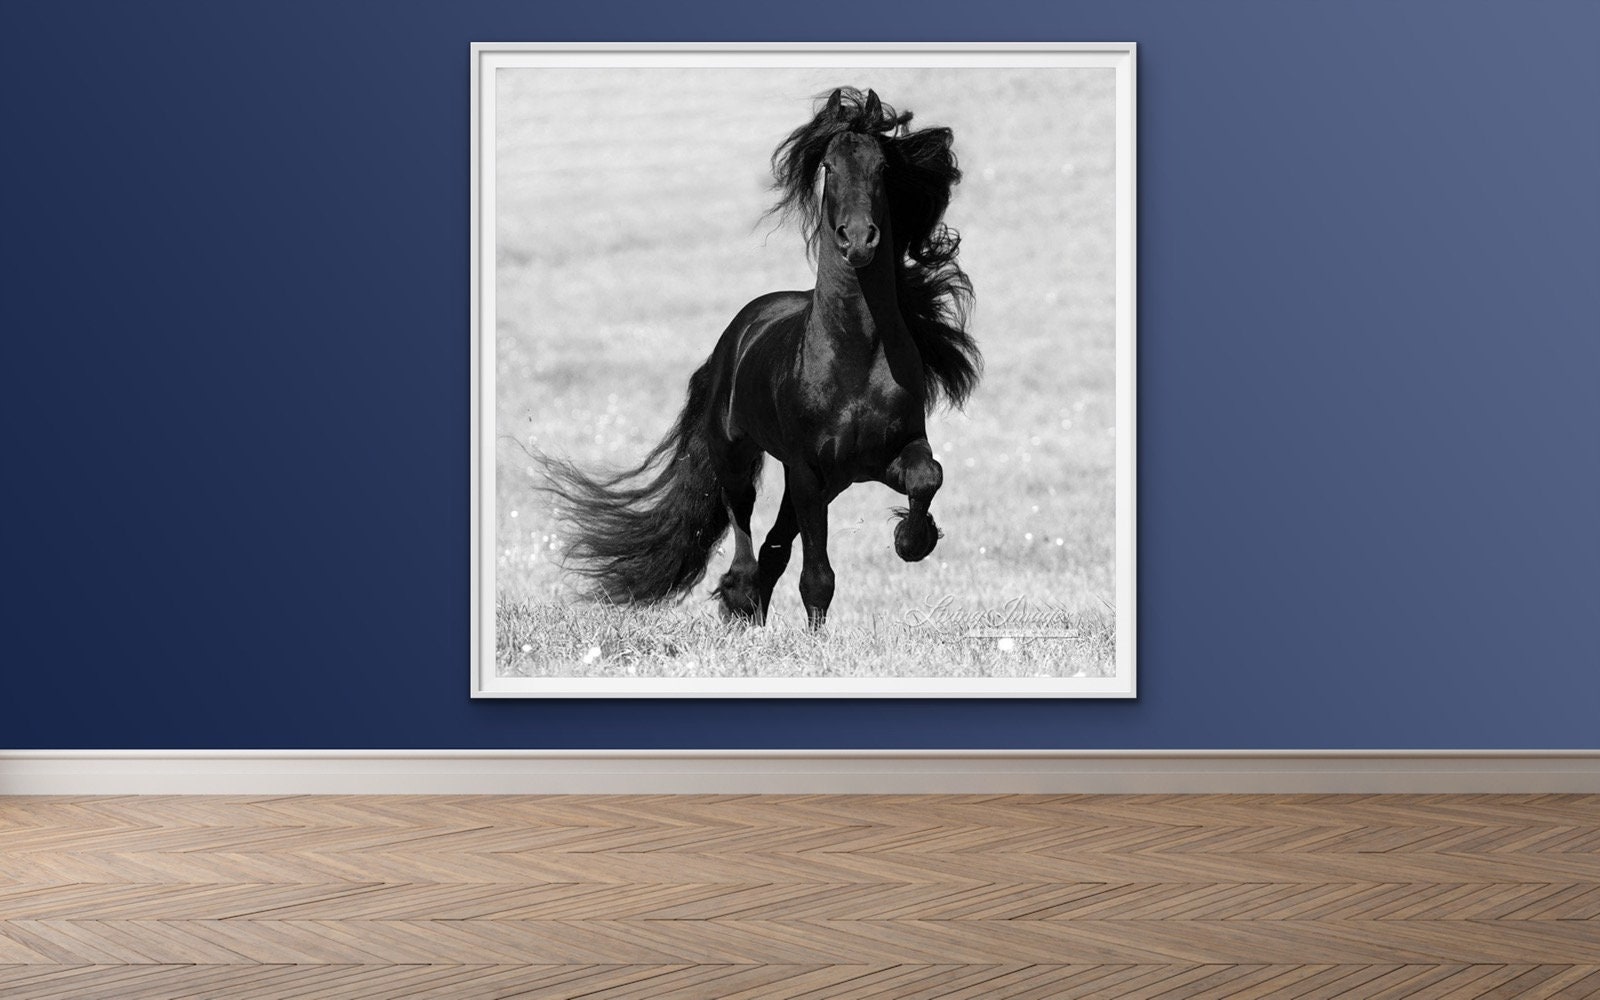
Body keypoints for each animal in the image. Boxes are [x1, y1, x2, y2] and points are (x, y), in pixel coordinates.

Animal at [539, 87, 980, 628]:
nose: (858, 239)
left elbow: (926, 476)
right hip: (737, 454)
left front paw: (912, 540)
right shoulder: (807, 469)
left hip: (825, 481)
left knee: (774, 544)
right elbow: (817, 577)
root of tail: (736, 333)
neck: (854, 356)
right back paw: (741, 593)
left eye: (882, 167)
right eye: (829, 166)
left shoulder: (889, 452)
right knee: (745, 524)